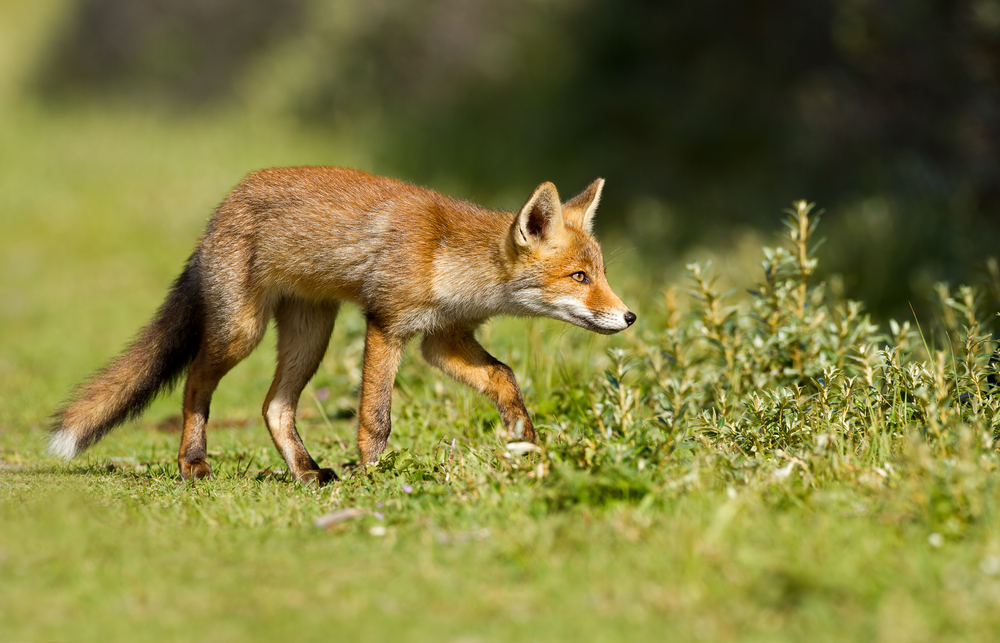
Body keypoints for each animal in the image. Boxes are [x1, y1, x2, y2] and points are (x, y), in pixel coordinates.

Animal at [49, 167, 635, 484]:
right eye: (580, 277)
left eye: (601, 273)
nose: (629, 316)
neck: (451, 259)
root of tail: (221, 209)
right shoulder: (388, 324)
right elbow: (376, 419)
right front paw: (374, 476)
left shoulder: (443, 339)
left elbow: (505, 377)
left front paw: (526, 442)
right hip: (241, 332)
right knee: (195, 382)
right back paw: (193, 463)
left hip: (312, 336)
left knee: (274, 406)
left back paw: (306, 471)